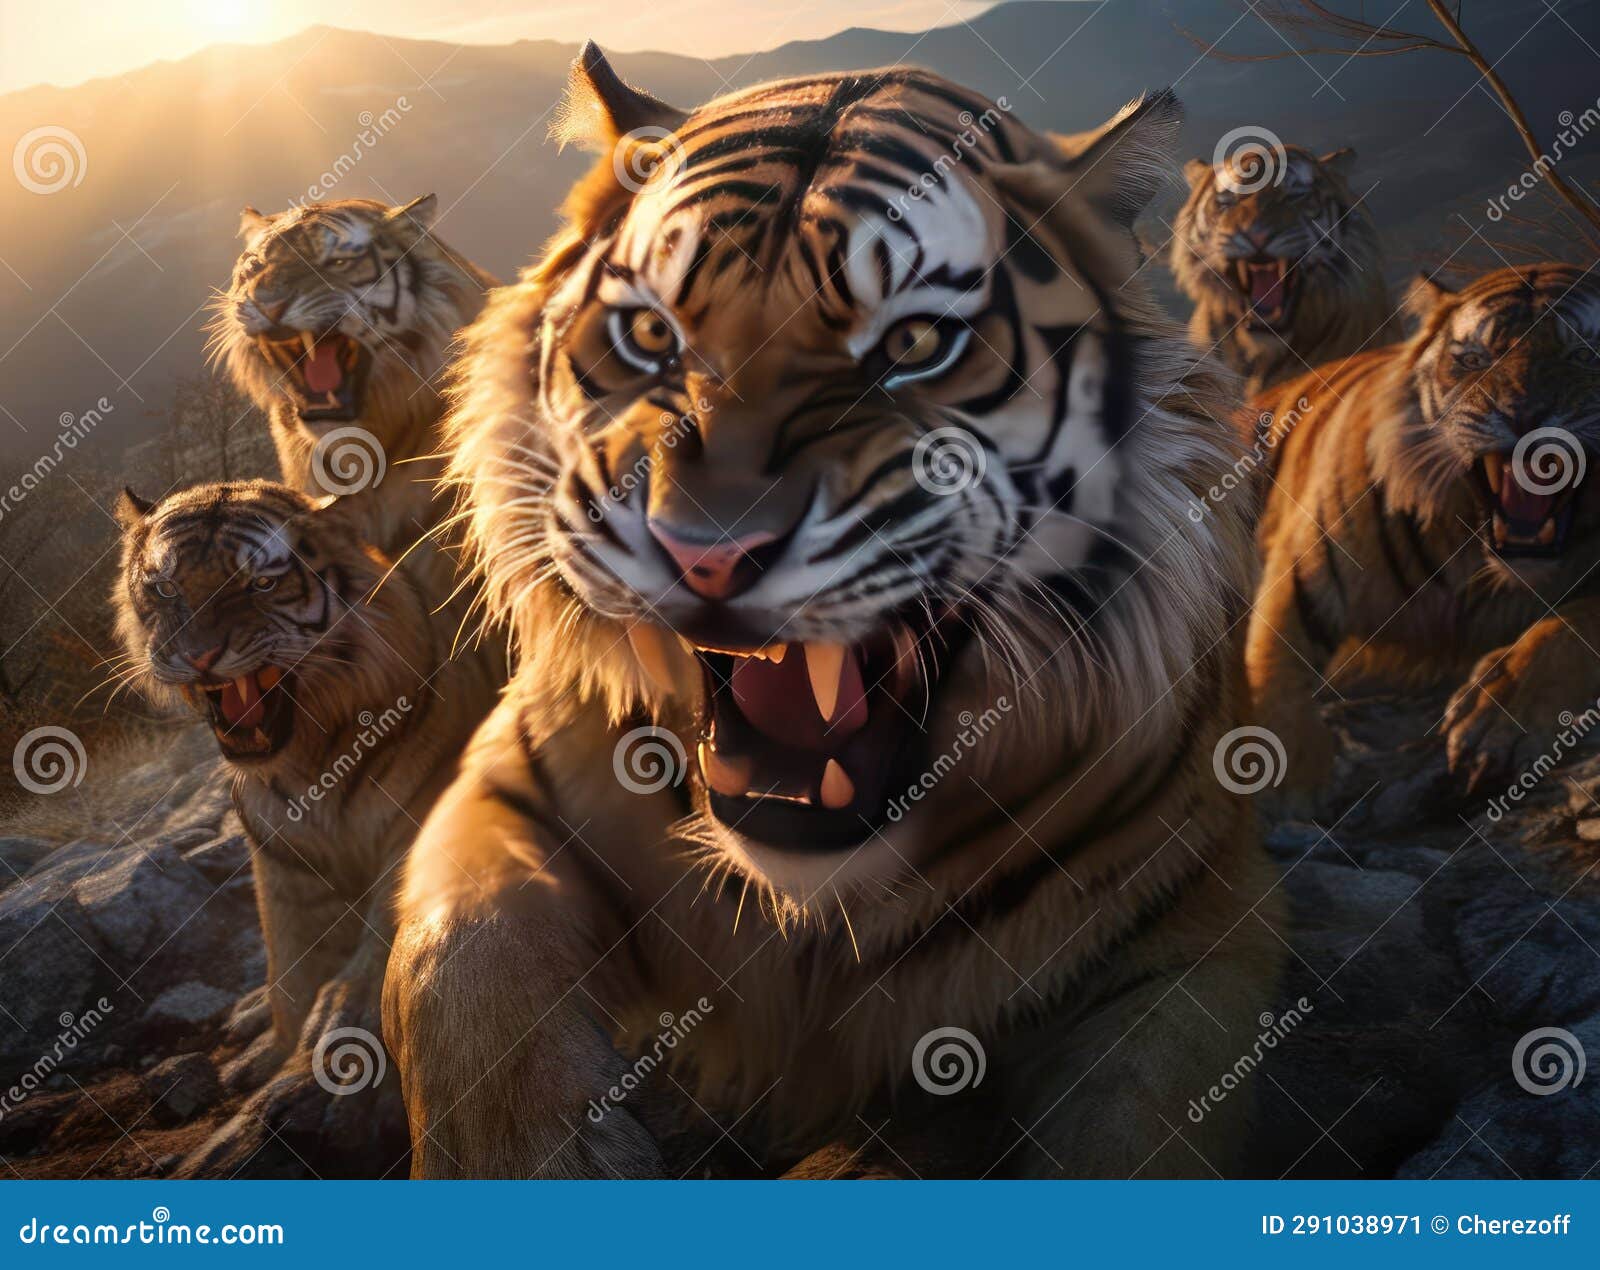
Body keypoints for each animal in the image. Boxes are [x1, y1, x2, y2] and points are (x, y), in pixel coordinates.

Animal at [113, 480, 501, 1169]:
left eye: (260, 585)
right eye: (164, 589)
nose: (198, 656)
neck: (308, 758)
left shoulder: (417, 819)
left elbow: (382, 934)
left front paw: (340, 1024)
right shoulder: (283, 861)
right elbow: (288, 967)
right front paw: (279, 1053)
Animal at [380, 47, 1284, 1180]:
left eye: (913, 342)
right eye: (650, 332)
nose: (707, 549)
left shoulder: (1198, 918)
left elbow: (1137, 1128)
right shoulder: (503, 788)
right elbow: (462, 960)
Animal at [1244, 262, 1600, 812]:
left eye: (1583, 355)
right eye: (1474, 360)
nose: (1523, 414)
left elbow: (1572, 625)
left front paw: (1498, 715)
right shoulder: (1306, 566)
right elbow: (1274, 666)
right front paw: (1280, 775)